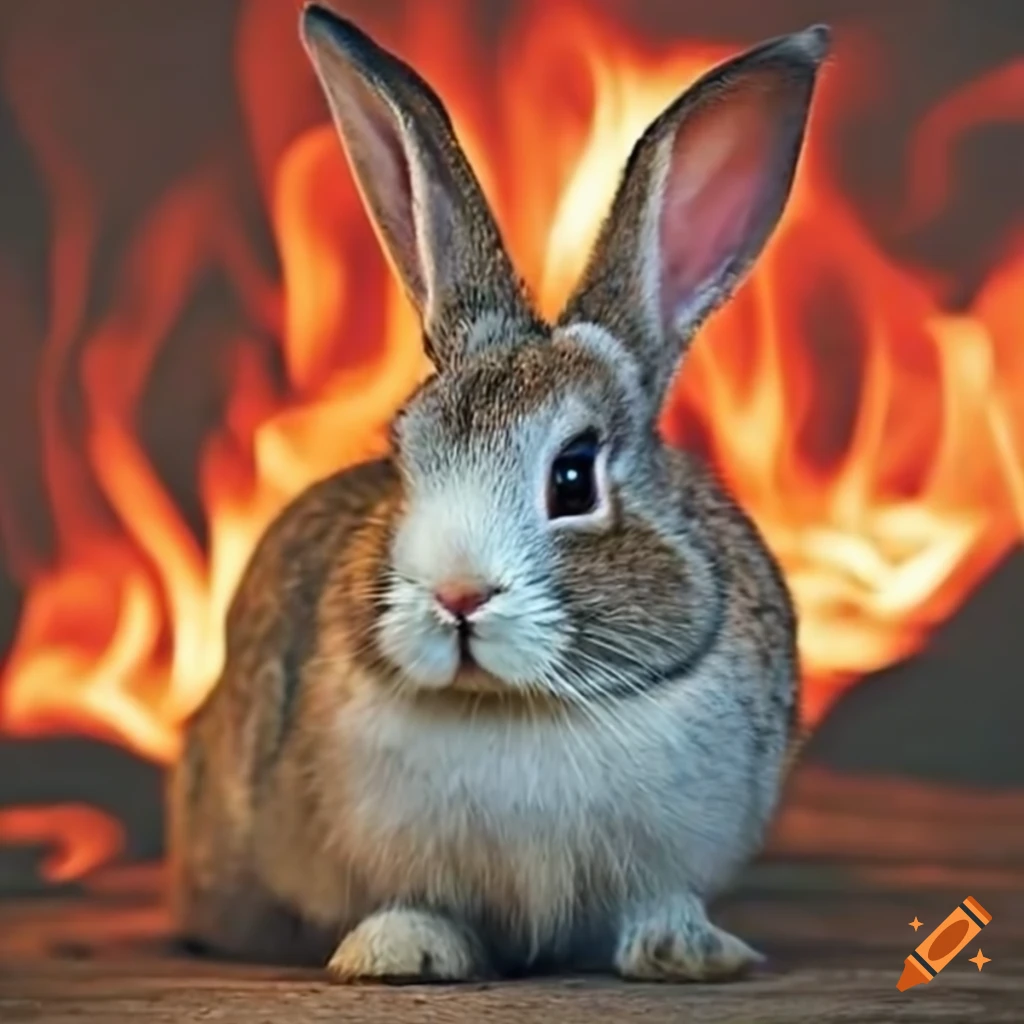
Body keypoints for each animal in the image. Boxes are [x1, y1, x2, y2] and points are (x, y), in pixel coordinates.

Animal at [168, 1, 829, 984]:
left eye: (574, 476)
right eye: (405, 456)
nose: (457, 596)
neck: (519, 704)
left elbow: (655, 900)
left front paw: (687, 951)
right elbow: (411, 900)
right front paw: (400, 952)